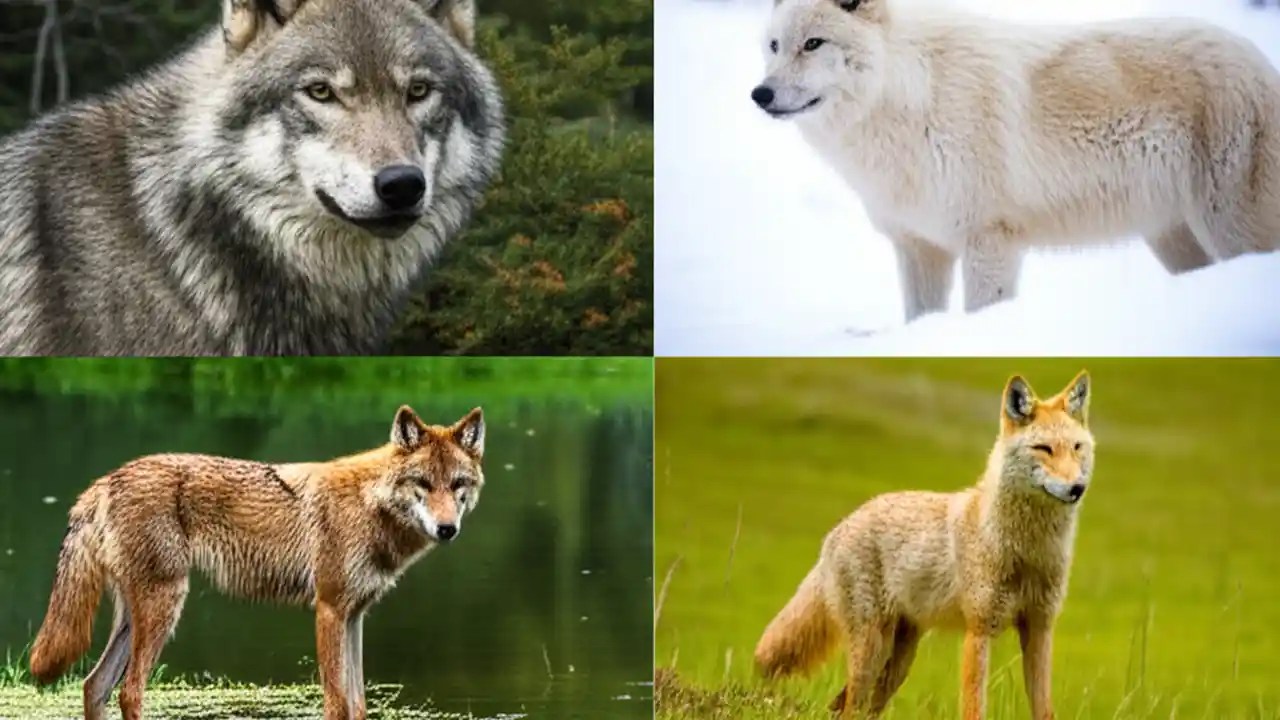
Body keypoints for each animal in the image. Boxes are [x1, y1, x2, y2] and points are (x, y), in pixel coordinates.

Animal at [29, 405, 486, 720]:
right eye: (423, 483)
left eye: (457, 484)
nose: (447, 529)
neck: (369, 506)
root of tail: (105, 481)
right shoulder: (329, 610)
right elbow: (337, 705)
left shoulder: (355, 615)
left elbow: (359, 707)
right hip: (164, 609)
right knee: (130, 692)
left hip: (136, 617)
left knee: (94, 686)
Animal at [754, 0, 1280, 322]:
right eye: (774, 46)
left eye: (814, 43)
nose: (761, 94)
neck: (913, 96)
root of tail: (1261, 62)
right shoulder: (919, 248)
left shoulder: (989, 240)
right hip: (1174, 240)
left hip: (1230, 230)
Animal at [755, 372, 1094, 720]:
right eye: (1044, 449)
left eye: (1077, 447)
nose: (1077, 488)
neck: (1028, 553)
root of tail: (839, 528)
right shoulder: (979, 631)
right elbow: (974, 708)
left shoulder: (1040, 628)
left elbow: (1044, 708)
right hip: (873, 650)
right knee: (848, 707)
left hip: (897, 661)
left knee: (843, 705)